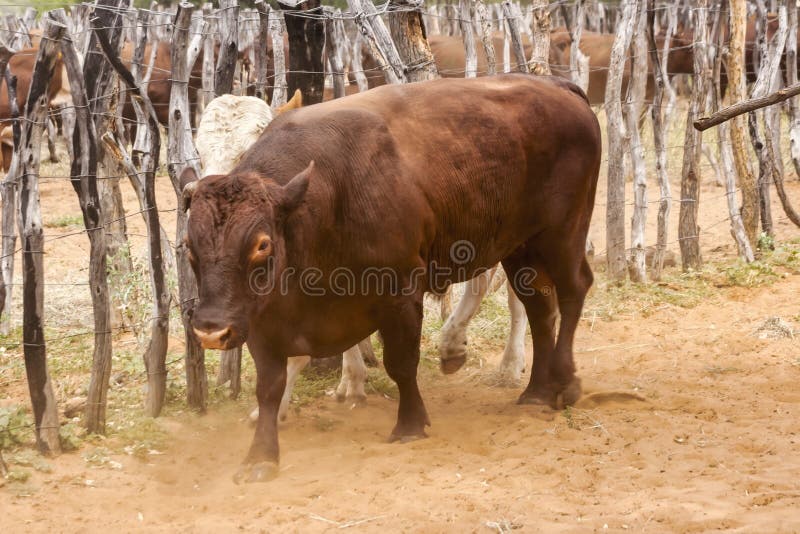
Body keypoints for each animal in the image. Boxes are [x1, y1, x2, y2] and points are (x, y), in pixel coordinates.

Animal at [180, 74, 601, 483]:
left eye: (262, 244)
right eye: (188, 244)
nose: (210, 331)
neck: (320, 204)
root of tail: (560, 87)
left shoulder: (399, 294)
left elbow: (400, 363)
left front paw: (409, 425)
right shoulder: (262, 318)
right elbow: (269, 386)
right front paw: (260, 457)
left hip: (562, 235)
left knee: (571, 291)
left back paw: (559, 381)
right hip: (520, 247)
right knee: (538, 308)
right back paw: (536, 391)